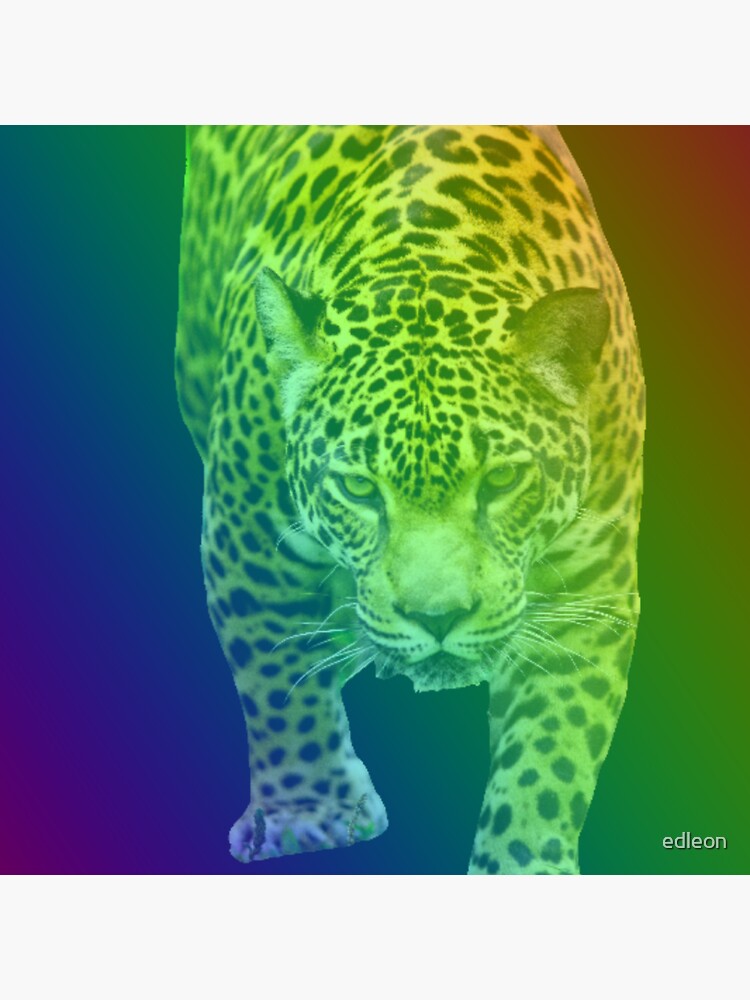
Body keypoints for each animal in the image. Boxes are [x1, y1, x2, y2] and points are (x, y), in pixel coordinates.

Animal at [176, 125, 645, 874]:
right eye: (359, 488)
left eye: (502, 481)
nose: (438, 618)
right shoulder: (246, 543)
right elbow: (277, 681)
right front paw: (309, 815)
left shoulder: (587, 586)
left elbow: (550, 755)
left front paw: (520, 860)